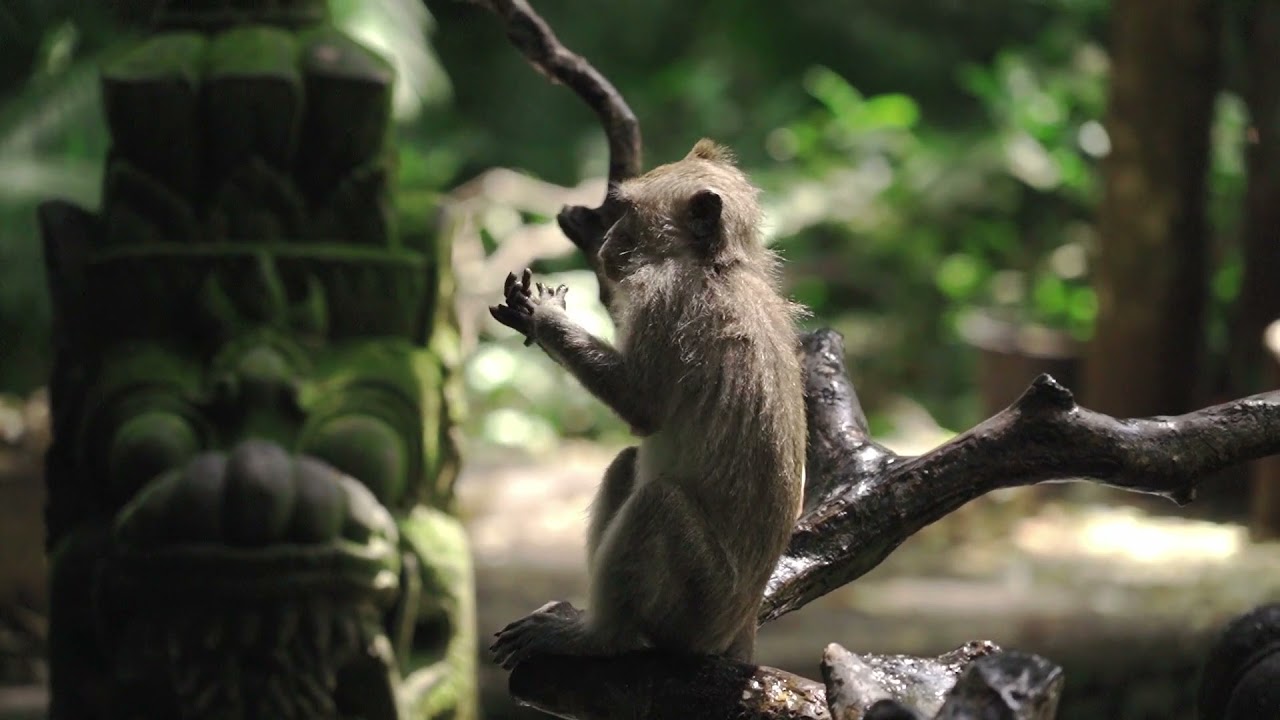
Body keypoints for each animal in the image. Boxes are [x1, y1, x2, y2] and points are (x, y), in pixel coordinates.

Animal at [487, 139, 806, 668]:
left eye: (630, 214)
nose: (605, 244)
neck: (716, 265)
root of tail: (738, 633)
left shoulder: (668, 297)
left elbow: (642, 408)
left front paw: (542, 316)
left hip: (699, 606)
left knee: (657, 504)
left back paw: (597, 637)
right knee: (626, 465)